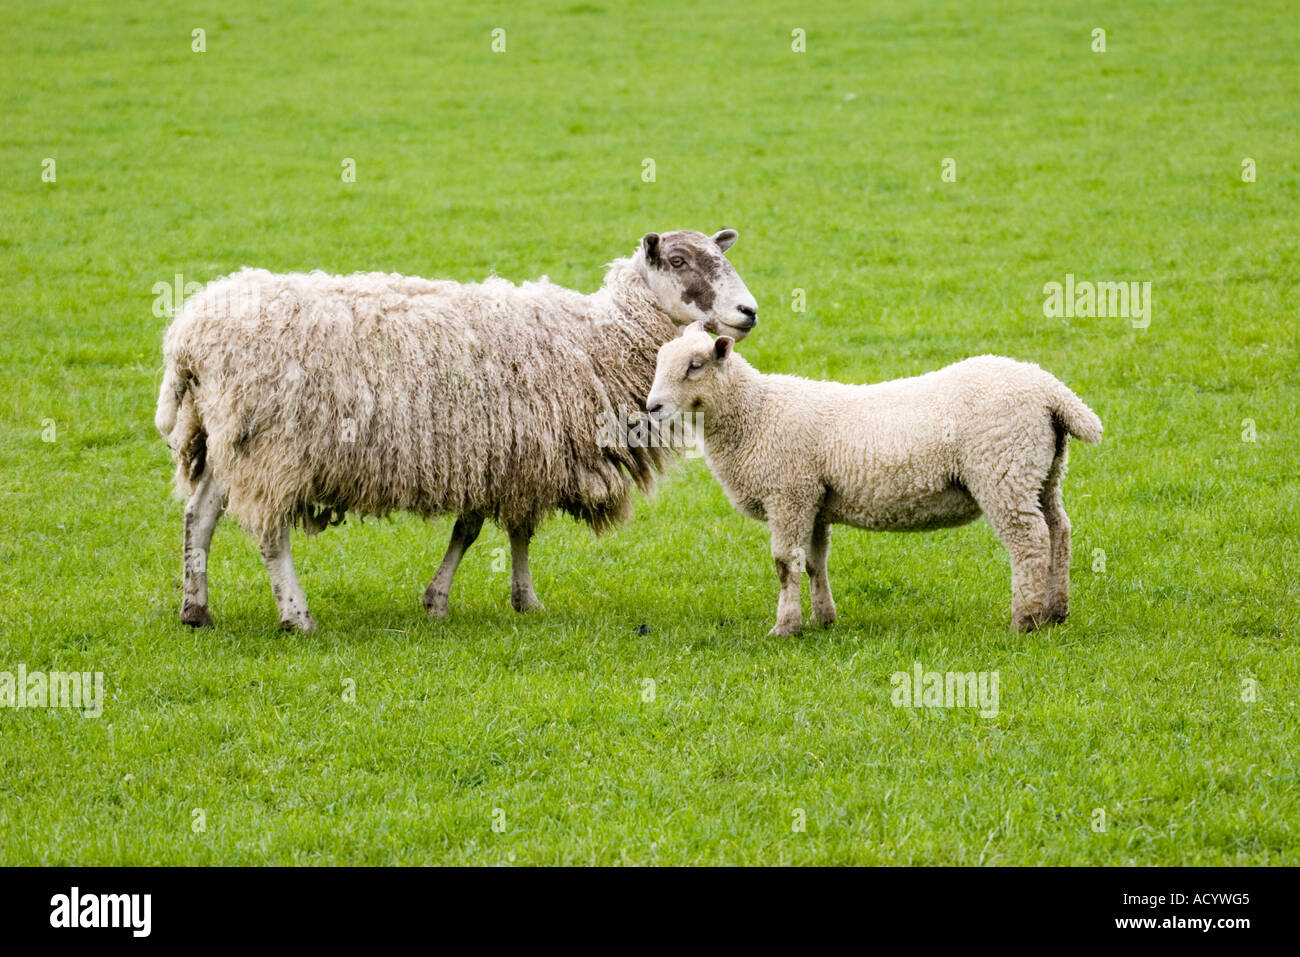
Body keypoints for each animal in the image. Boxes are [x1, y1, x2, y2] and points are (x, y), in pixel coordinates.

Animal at [155, 229, 759, 631]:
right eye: (679, 260)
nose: (748, 311)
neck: (599, 336)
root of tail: (187, 334)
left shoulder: (510, 455)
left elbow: (504, 531)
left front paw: (510, 600)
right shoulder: (516, 453)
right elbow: (482, 531)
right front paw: (461, 599)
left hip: (226, 438)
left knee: (199, 517)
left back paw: (196, 610)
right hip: (273, 450)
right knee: (271, 534)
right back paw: (295, 615)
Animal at [645, 326, 1103, 635]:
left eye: (695, 366)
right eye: (659, 362)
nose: (652, 407)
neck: (755, 412)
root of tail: (1052, 392)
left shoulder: (788, 494)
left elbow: (785, 564)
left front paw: (786, 626)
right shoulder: (814, 500)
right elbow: (815, 562)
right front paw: (824, 618)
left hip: (1004, 469)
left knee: (1029, 541)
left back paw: (1025, 620)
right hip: (1042, 471)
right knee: (1059, 530)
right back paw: (1056, 612)